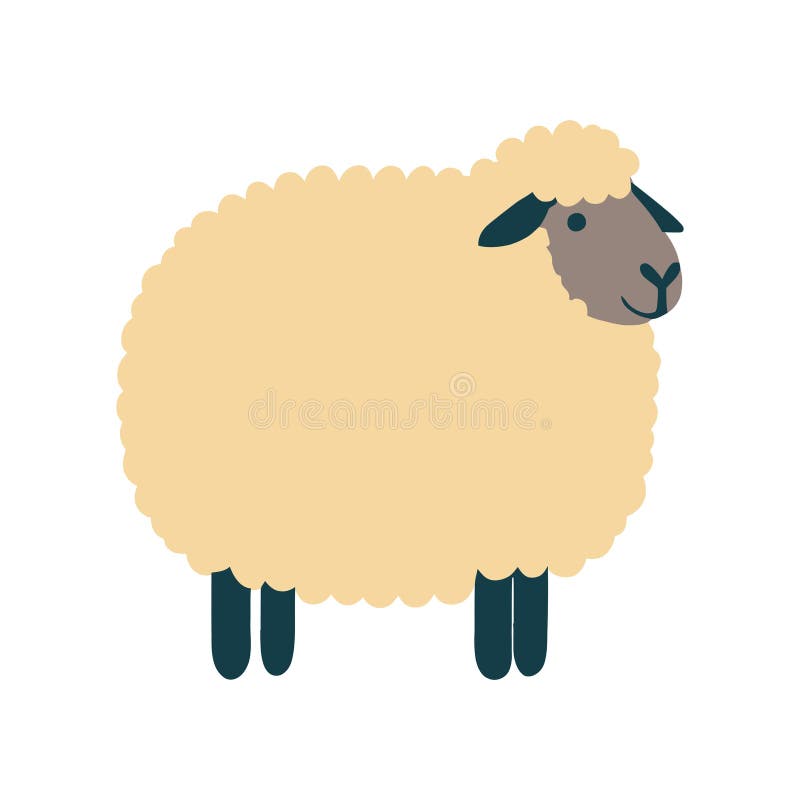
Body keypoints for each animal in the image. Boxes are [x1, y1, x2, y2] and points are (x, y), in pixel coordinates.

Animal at [118, 121, 683, 680]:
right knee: (231, 583)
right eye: (575, 220)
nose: (663, 277)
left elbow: (532, 592)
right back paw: (237, 661)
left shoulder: (538, 518)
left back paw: (277, 657)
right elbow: (496, 597)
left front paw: (528, 661)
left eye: (637, 200)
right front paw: (494, 663)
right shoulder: (493, 513)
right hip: (218, 503)